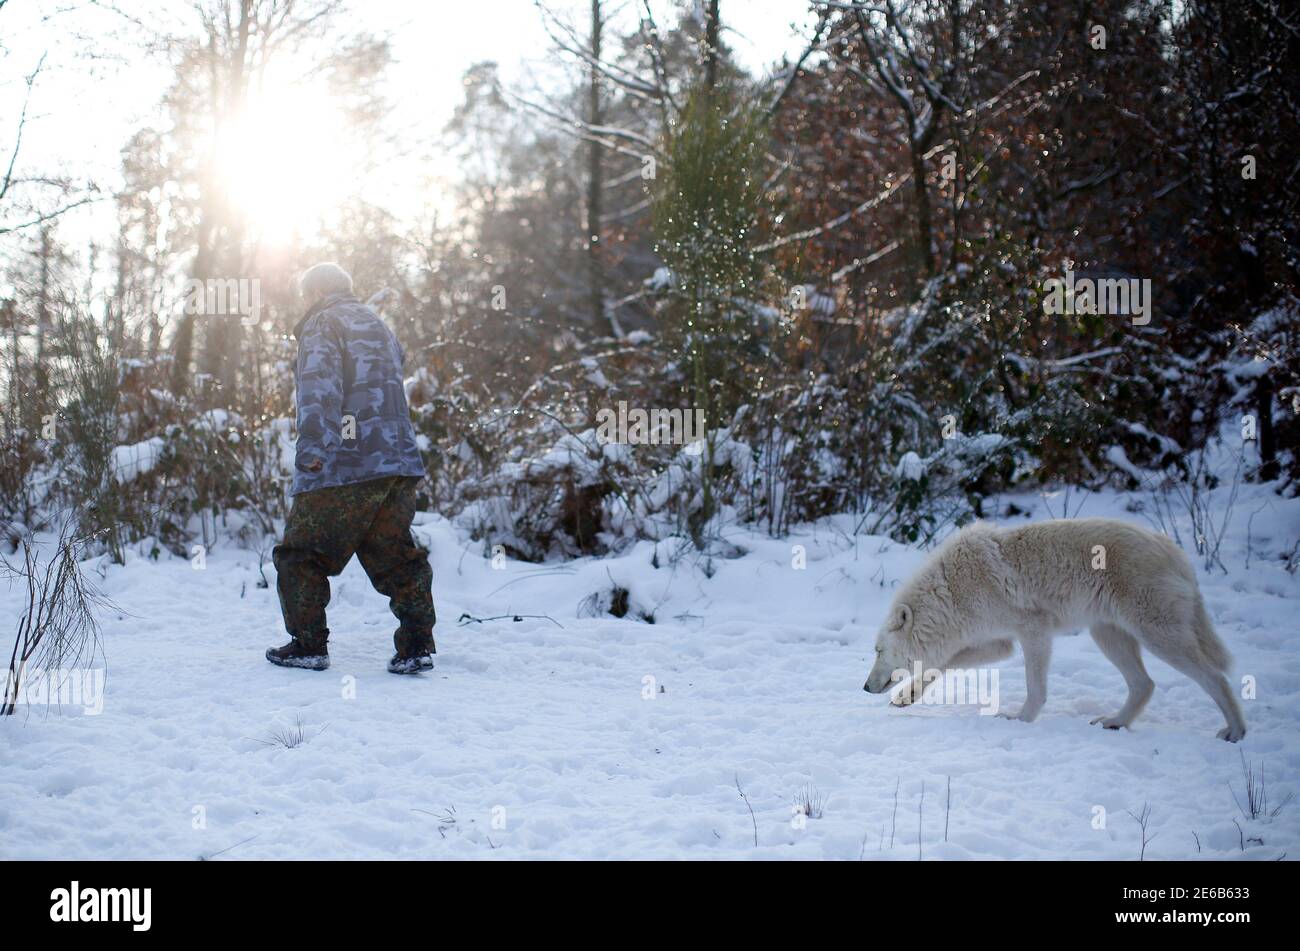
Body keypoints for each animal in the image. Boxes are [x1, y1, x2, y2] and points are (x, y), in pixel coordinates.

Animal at [862, 518, 1247, 741]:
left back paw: (1236, 731)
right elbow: (943, 664)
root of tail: (1174, 549)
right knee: (1145, 684)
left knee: (1215, 678)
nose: (865, 688)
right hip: (1107, 635)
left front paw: (1019, 719)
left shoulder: (1034, 631)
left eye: (878, 651)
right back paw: (1115, 722)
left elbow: (1036, 688)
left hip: (1156, 636)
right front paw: (907, 696)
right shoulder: (999, 643)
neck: (951, 591)